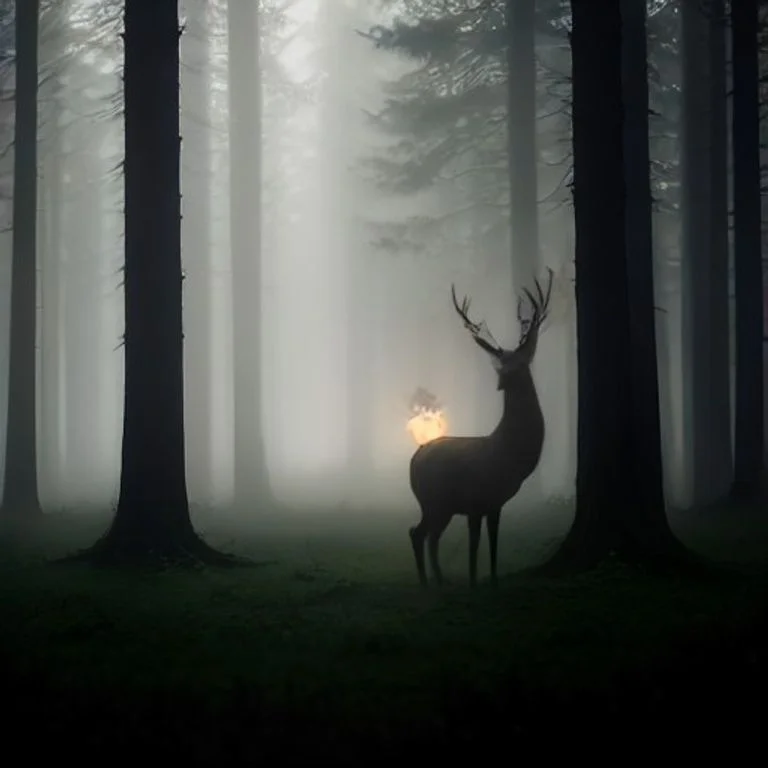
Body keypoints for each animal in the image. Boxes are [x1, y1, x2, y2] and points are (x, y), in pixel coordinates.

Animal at [408, 269, 553, 587]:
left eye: (517, 364)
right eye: (501, 364)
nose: (502, 380)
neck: (507, 454)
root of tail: (415, 457)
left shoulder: (494, 503)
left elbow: (493, 544)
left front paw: (493, 579)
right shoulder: (475, 500)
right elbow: (474, 547)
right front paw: (475, 582)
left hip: (439, 505)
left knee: (426, 535)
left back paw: (436, 580)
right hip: (434, 499)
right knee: (419, 533)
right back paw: (429, 582)